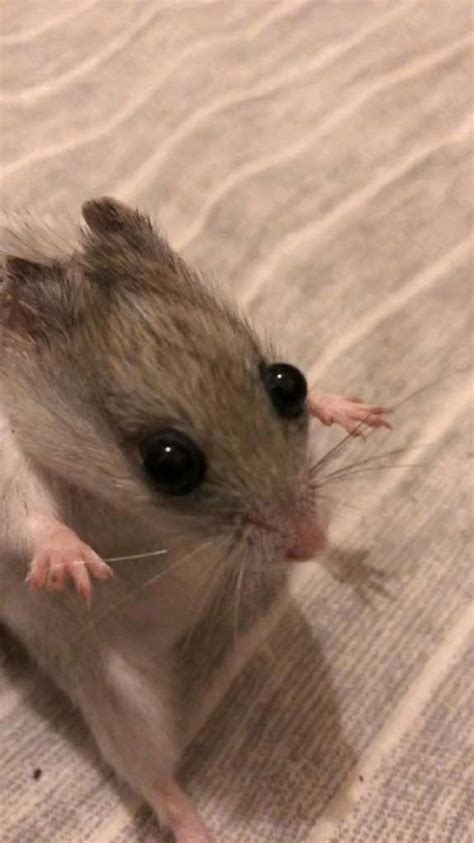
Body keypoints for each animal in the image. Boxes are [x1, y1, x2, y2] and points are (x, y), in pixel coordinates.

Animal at [0, 197, 389, 843]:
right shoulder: (9, 466)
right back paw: (197, 829)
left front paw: (359, 414)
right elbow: (33, 518)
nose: (313, 544)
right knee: (153, 779)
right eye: (168, 462)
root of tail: (173, 632)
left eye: (288, 381)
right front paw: (75, 569)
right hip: (115, 692)